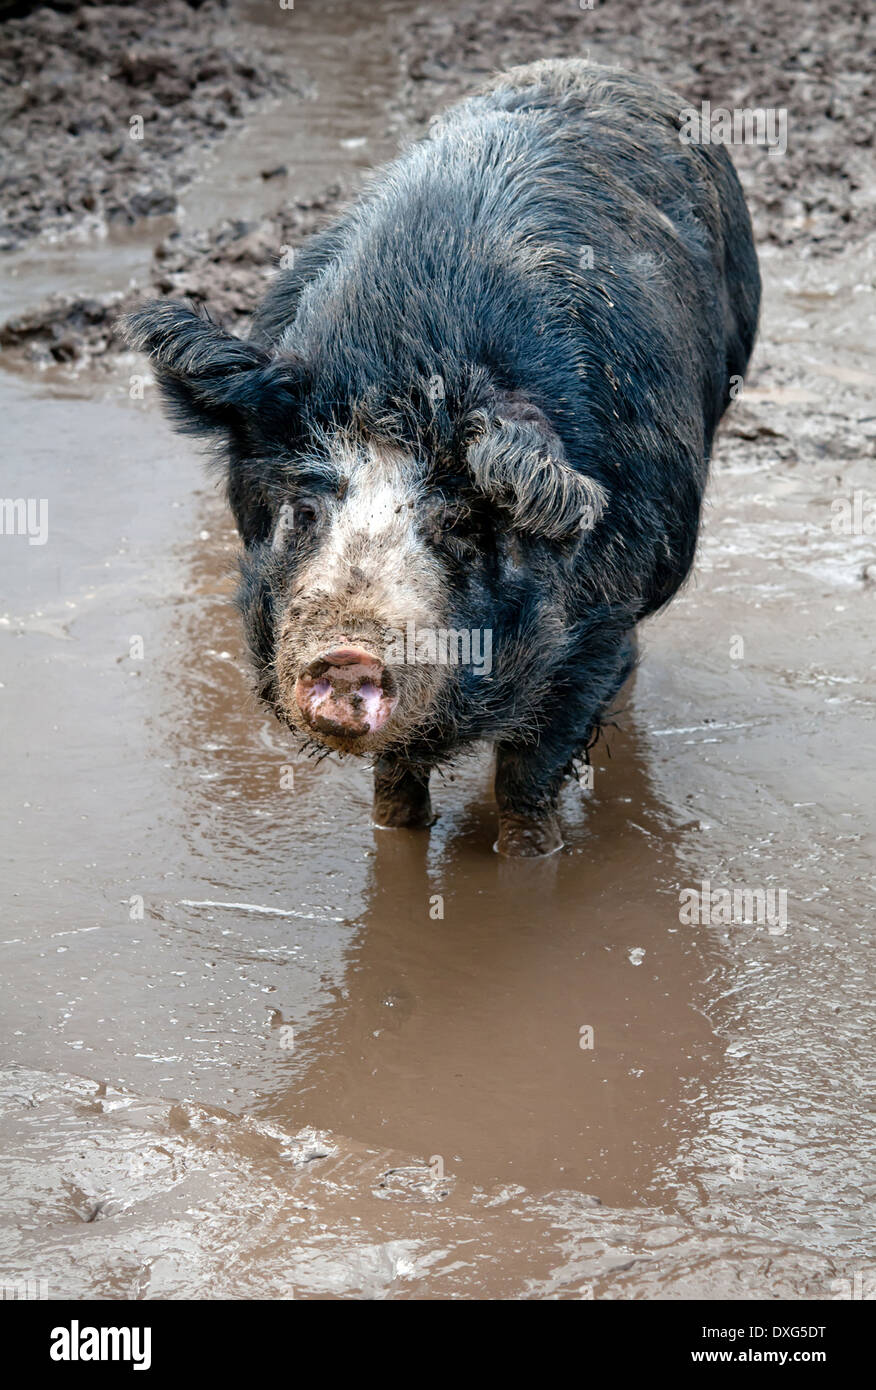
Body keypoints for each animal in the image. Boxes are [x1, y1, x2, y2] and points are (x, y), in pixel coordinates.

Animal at [124, 59, 760, 856]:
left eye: (458, 524)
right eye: (303, 510)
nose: (347, 655)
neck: (411, 364)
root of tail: (598, 65)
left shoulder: (599, 625)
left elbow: (526, 784)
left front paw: (531, 861)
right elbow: (396, 788)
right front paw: (396, 840)